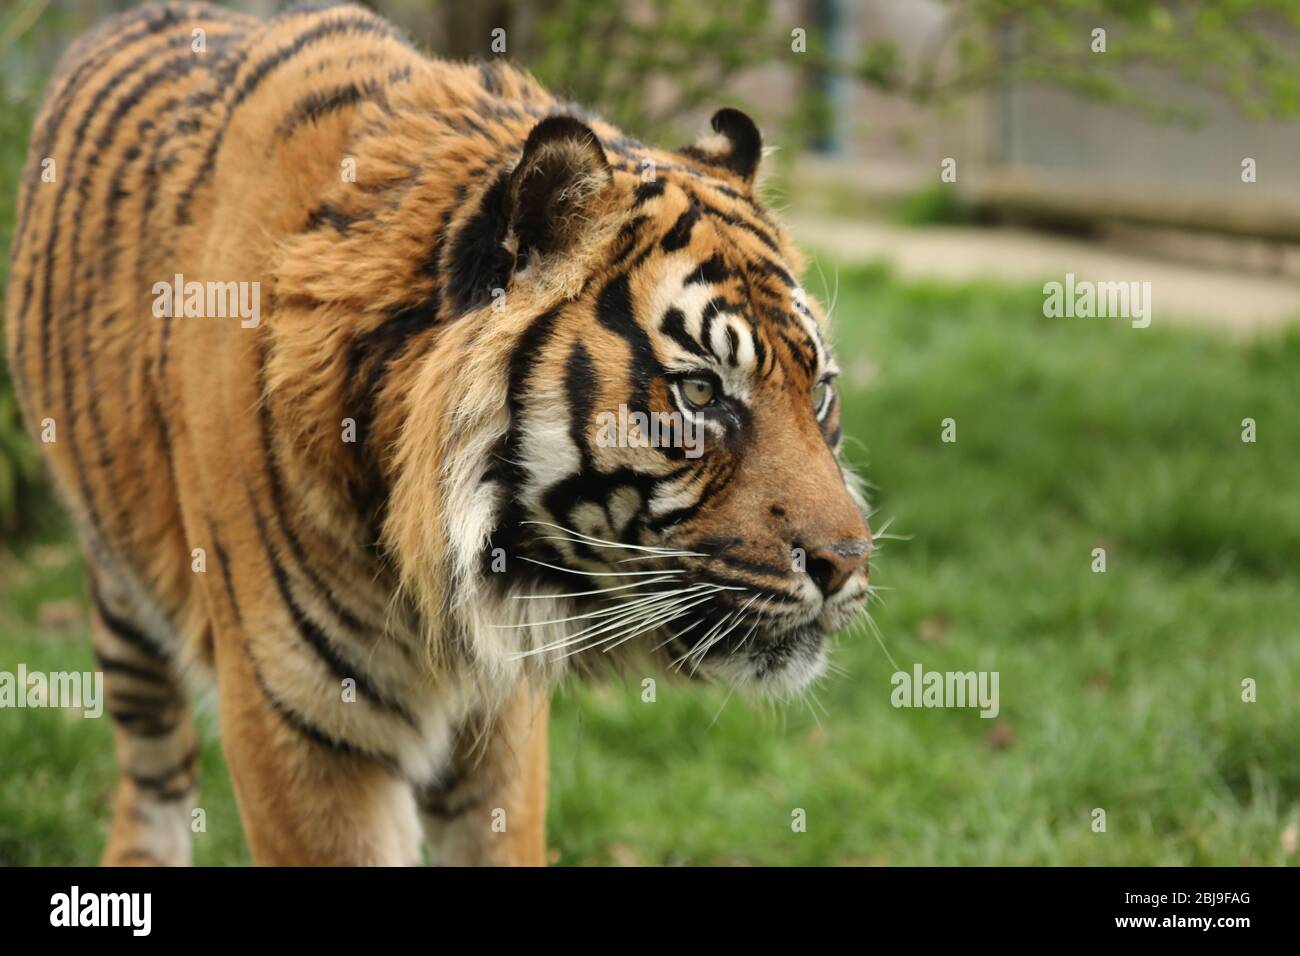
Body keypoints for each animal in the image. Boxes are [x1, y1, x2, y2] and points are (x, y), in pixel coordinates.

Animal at [4, 1, 872, 866]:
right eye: (699, 393)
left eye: (820, 392)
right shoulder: (301, 727)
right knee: (152, 772)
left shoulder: (500, 709)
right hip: (122, 593)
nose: (847, 564)